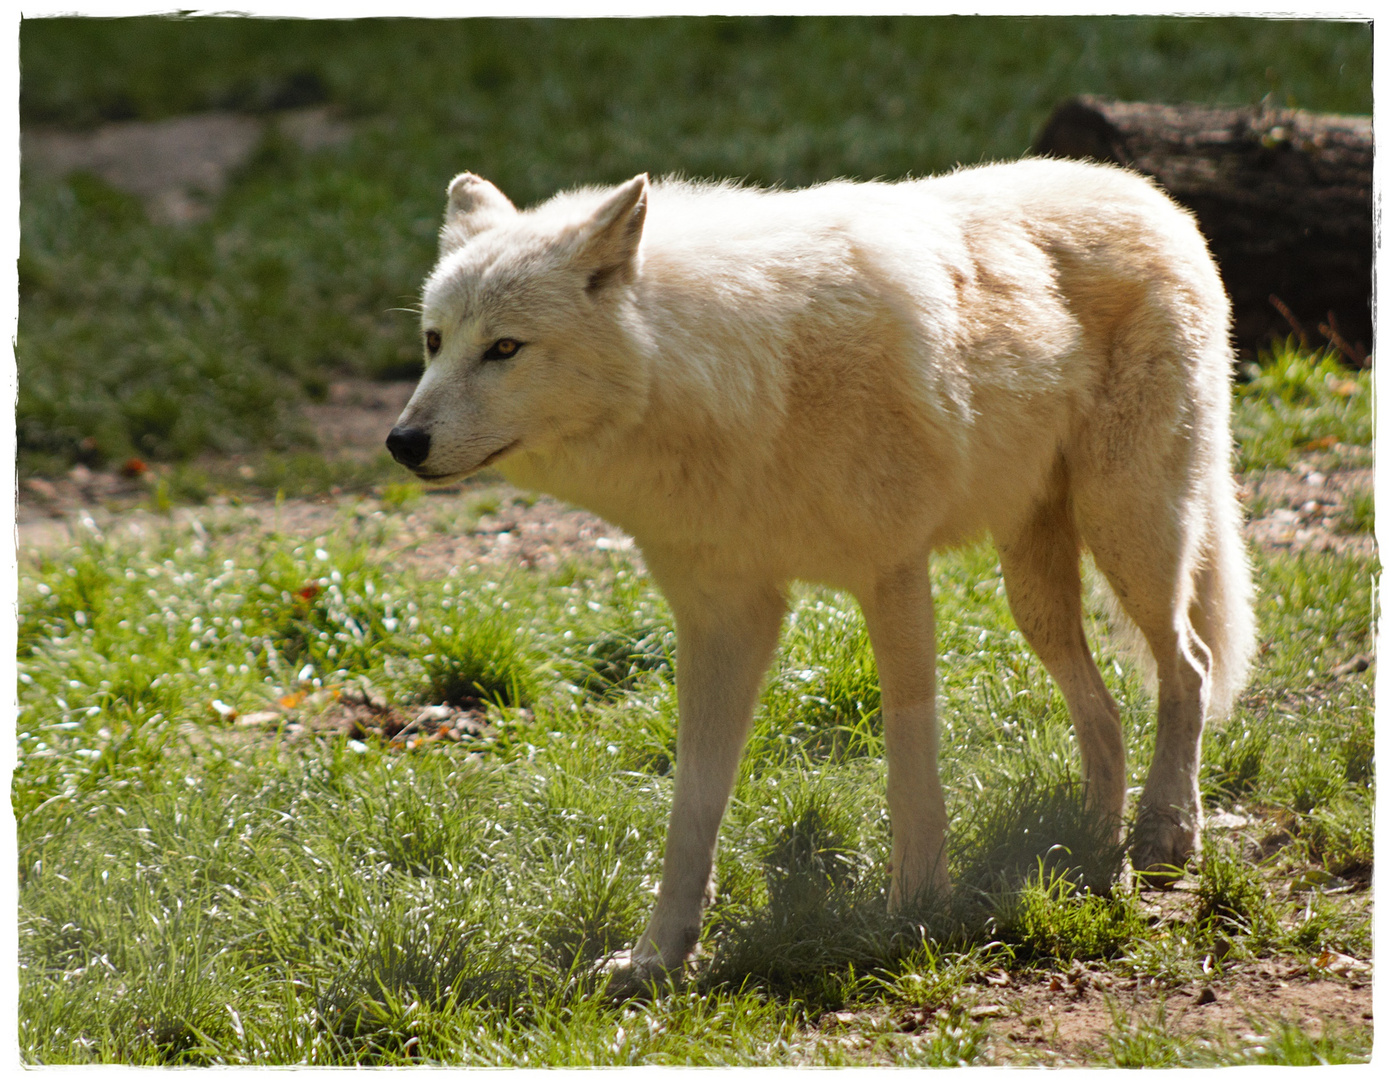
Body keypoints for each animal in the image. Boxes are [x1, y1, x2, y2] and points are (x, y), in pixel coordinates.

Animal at [388, 158, 1256, 981]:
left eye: (504, 348)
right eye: (434, 341)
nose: (401, 443)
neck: (736, 381)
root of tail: (1151, 195)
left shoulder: (892, 575)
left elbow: (910, 766)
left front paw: (915, 910)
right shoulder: (723, 619)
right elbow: (691, 809)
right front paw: (657, 957)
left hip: (1129, 534)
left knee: (1188, 662)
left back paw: (1164, 833)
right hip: (1032, 594)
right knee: (1104, 709)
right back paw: (1092, 847)